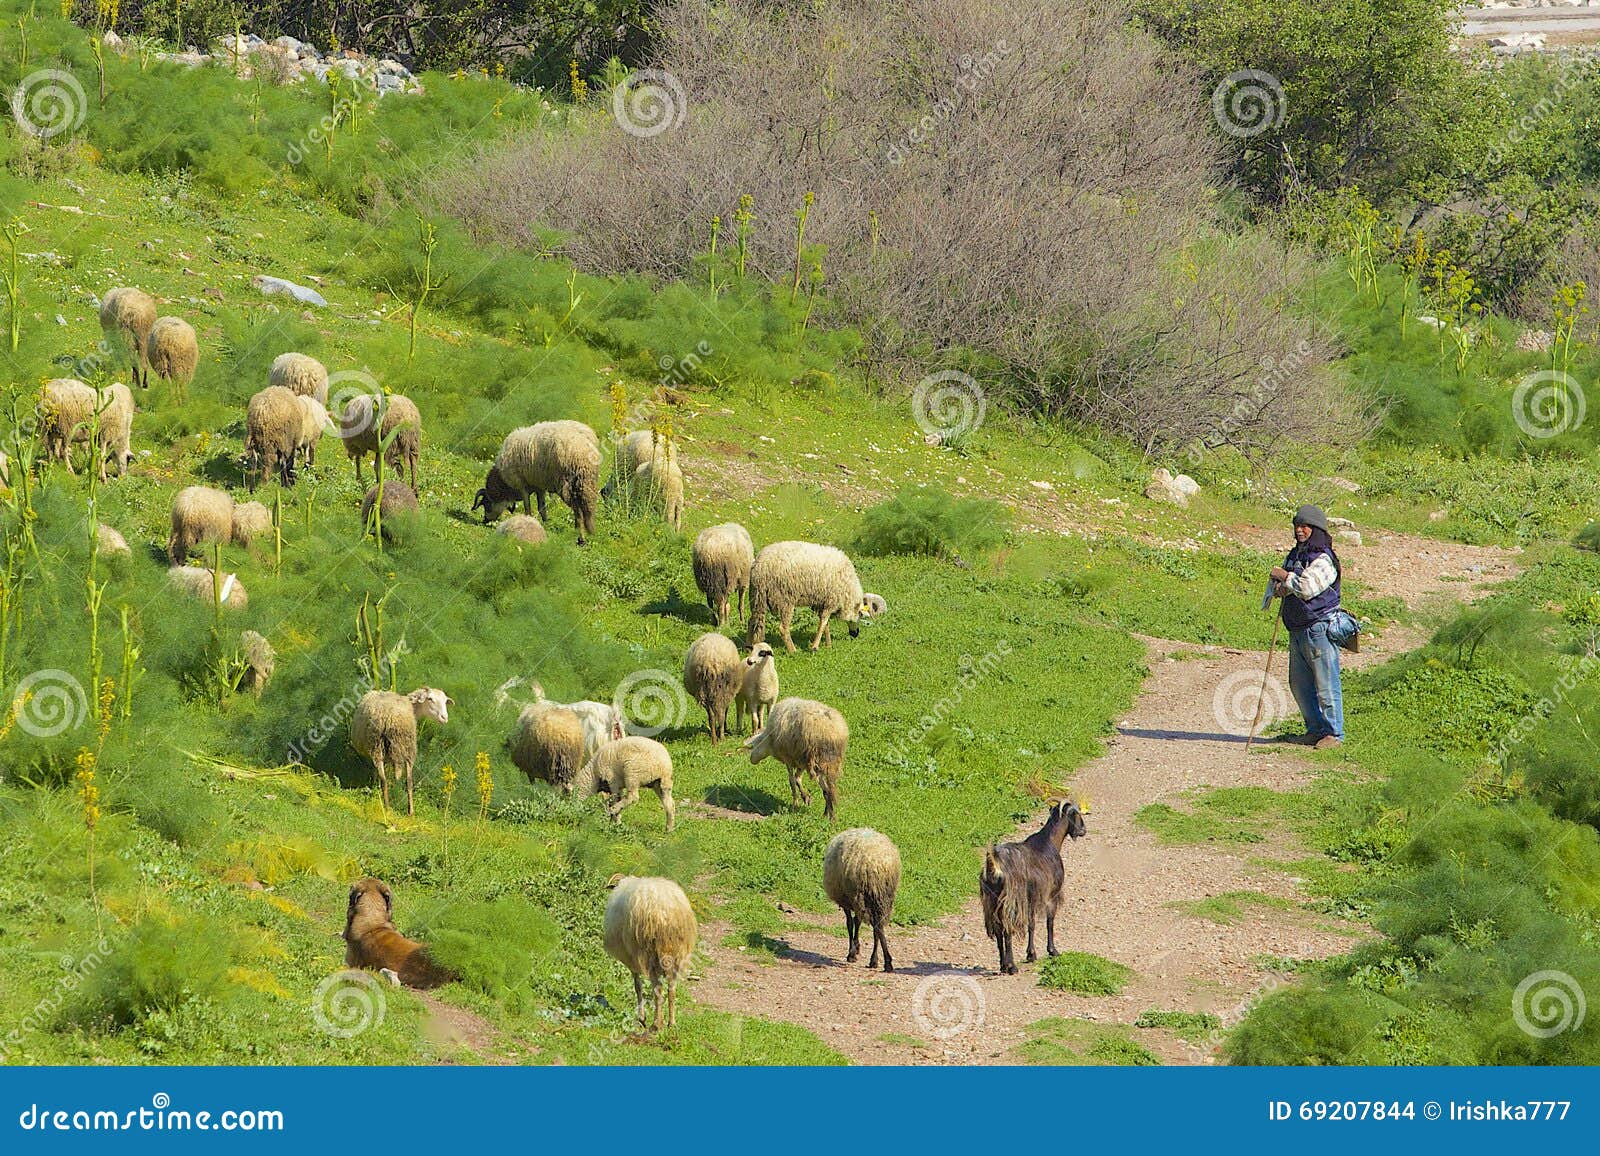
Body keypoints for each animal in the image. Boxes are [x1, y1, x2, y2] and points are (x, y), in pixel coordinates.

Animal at [350, 687, 452, 816]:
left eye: (445, 701)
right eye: (430, 698)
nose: (445, 718)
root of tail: (390, 717)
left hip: (381, 746)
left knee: (387, 779)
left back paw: (390, 807)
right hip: (403, 747)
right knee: (407, 781)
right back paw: (407, 810)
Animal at [602, 875, 696, 1031]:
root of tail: (664, 913)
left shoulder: (632, 960)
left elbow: (637, 986)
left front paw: (642, 1018)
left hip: (650, 955)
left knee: (657, 989)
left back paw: (656, 1024)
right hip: (676, 954)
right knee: (671, 988)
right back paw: (671, 1022)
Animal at [747, 541, 887, 653]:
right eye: (860, 616)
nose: (855, 634)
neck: (848, 591)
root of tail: (761, 564)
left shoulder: (822, 602)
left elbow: (825, 624)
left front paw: (828, 645)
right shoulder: (831, 600)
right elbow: (823, 623)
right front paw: (815, 647)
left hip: (757, 595)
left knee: (752, 621)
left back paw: (750, 646)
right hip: (785, 599)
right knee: (783, 628)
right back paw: (793, 651)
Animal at [823, 828, 901, 971]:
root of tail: (875, 864)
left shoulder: (847, 900)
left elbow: (850, 923)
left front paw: (852, 952)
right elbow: (857, 922)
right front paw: (856, 947)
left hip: (862, 896)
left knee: (876, 927)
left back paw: (882, 961)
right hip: (882, 898)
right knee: (878, 928)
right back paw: (881, 961)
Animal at [979, 800, 1087, 975]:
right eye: (1076, 813)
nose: (1083, 830)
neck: (1050, 842)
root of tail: (993, 866)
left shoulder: (1031, 898)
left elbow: (1031, 924)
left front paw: (1031, 954)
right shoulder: (1051, 894)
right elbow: (1049, 922)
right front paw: (1052, 950)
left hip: (991, 901)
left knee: (998, 930)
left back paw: (1003, 965)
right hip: (1011, 900)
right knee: (1007, 930)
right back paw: (1011, 966)